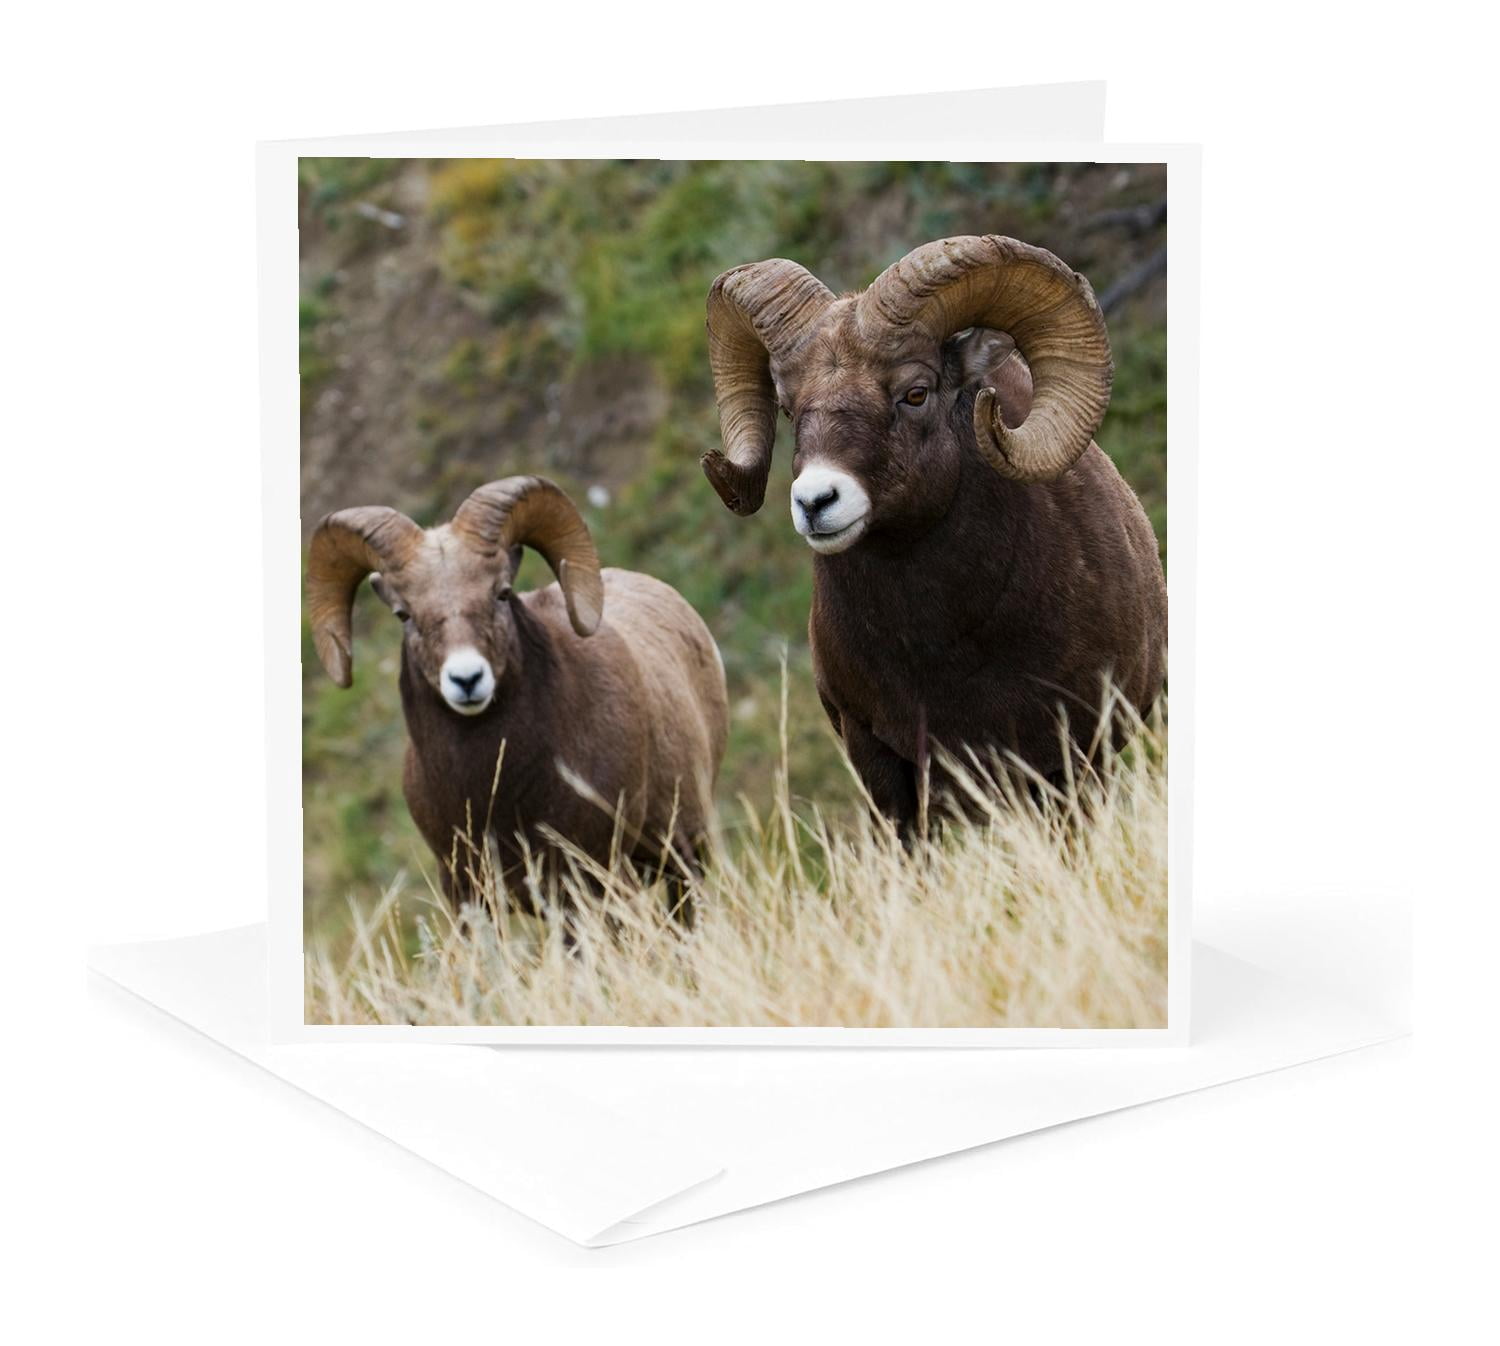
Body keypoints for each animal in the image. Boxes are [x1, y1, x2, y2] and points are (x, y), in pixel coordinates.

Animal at [306, 475, 729, 920]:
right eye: (403, 614)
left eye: (502, 592)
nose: (467, 678)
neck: (497, 794)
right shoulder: (467, 894)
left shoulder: (592, 882)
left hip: (684, 861)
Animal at [701, 234, 1167, 830]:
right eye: (787, 406)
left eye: (916, 393)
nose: (815, 502)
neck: (942, 647)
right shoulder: (881, 766)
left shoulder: (1071, 757)